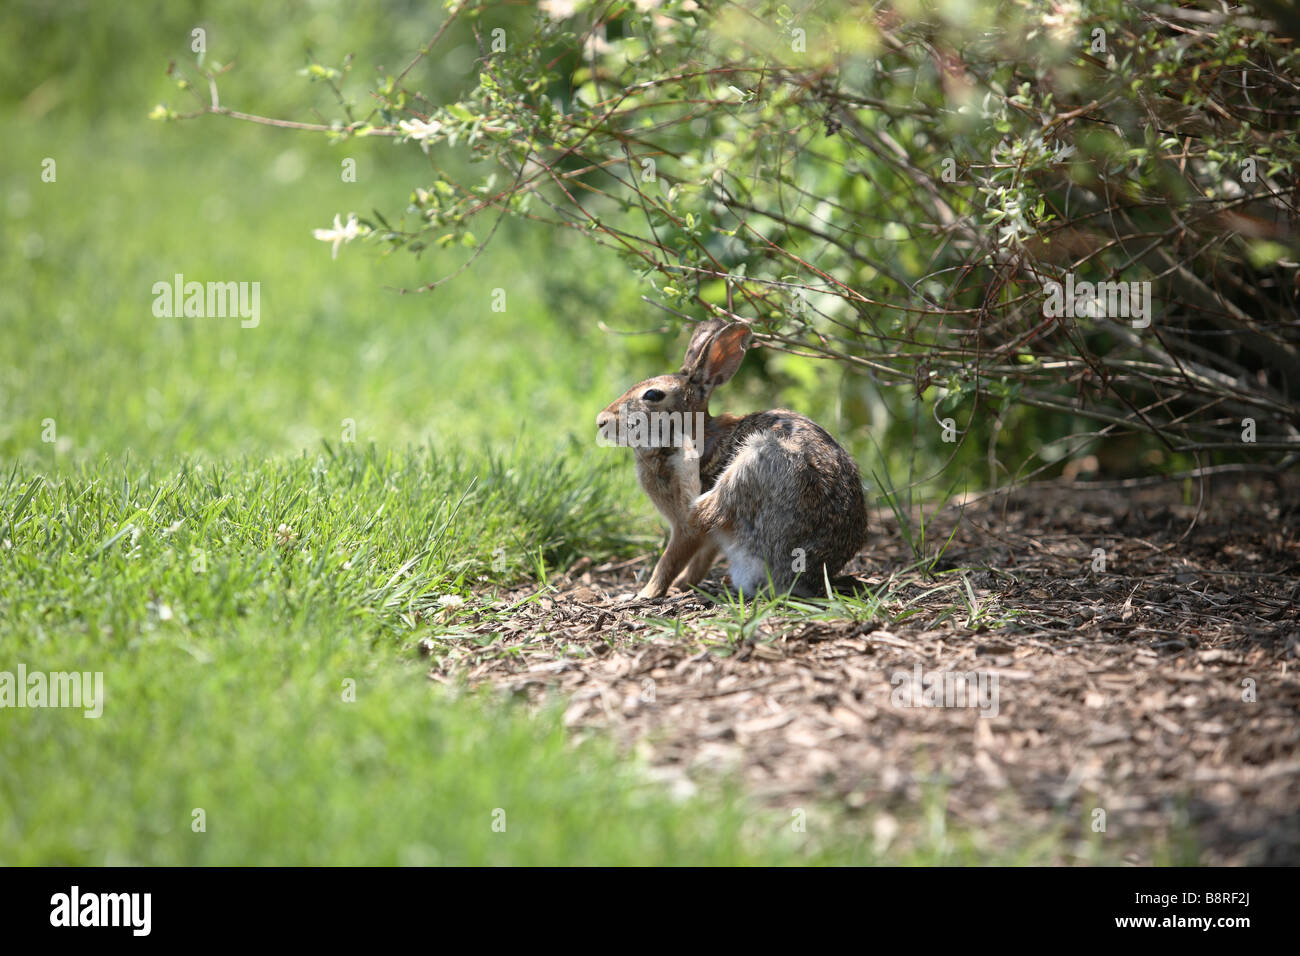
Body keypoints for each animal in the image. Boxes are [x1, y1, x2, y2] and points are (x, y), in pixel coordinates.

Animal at [596, 318, 868, 599]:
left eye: (652, 395)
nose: (601, 421)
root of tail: (805, 577)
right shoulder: (708, 542)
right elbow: (701, 561)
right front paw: (683, 585)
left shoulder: (685, 530)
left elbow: (670, 560)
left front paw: (646, 593)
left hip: (757, 461)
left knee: (702, 508)